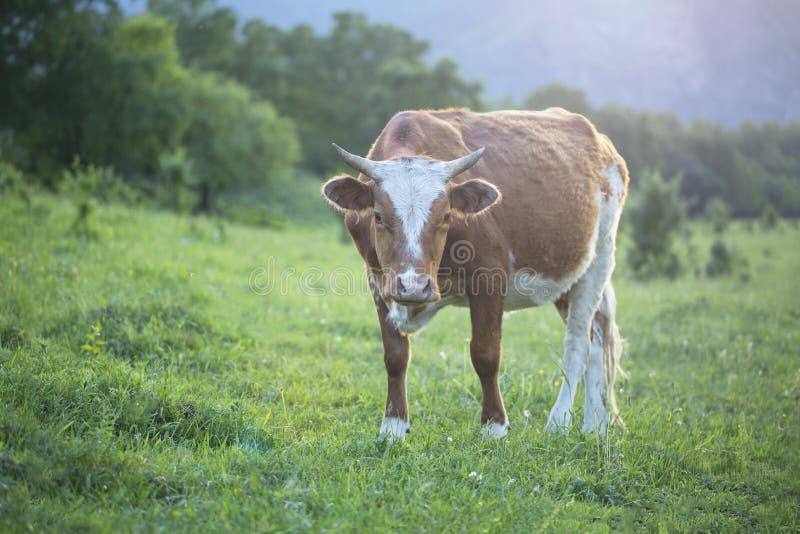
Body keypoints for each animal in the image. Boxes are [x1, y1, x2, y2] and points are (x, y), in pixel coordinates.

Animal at [322, 108, 628, 441]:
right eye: (377, 216)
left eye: (446, 216)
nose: (414, 286)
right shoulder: (379, 281)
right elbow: (395, 355)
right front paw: (393, 425)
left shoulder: (490, 276)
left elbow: (485, 353)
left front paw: (495, 425)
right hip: (565, 275)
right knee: (597, 336)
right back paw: (595, 425)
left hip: (599, 258)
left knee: (579, 343)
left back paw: (559, 421)